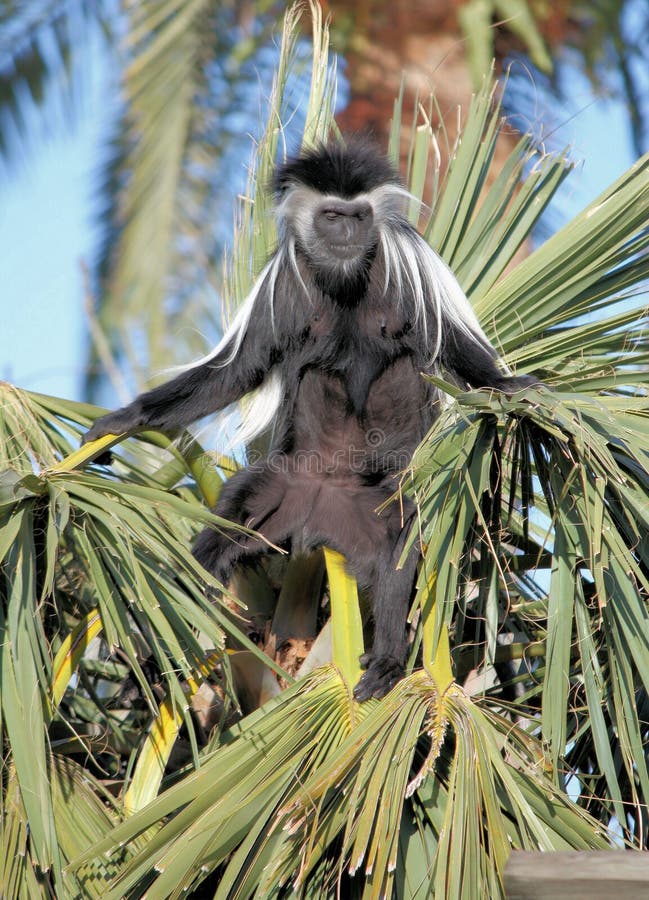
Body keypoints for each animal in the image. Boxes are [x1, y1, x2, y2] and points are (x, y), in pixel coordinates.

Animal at [83, 140, 538, 701]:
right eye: (331, 216)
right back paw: (151, 664)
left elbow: (451, 343)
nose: (346, 235)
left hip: (372, 504)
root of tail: (318, 513)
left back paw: (387, 660)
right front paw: (129, 417)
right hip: (277, 491)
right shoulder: (283, 276)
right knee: (213, 546)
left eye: (358, 216)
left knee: (397, 544)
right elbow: (237, 369)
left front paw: (509, 387)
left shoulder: (407, 261)